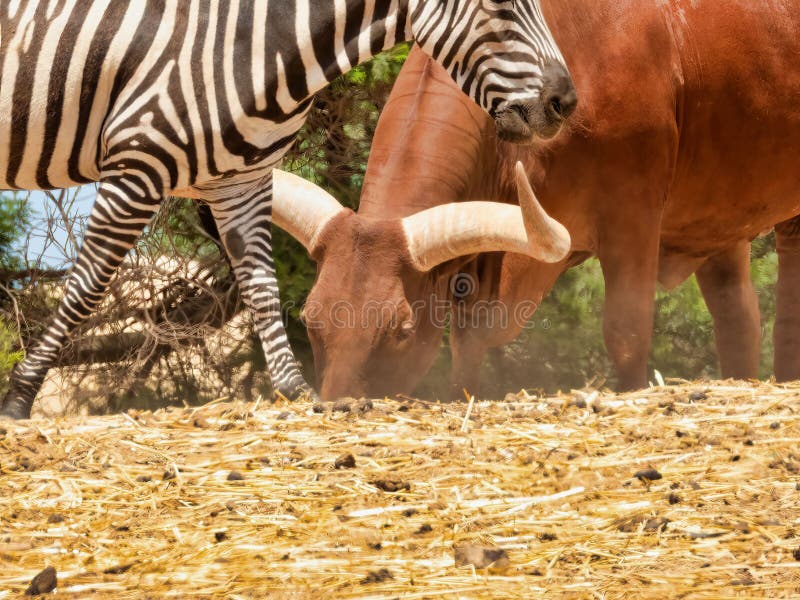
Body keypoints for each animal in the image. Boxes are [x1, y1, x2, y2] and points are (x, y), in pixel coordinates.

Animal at [0, 0, 576, 419]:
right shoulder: (138, 165)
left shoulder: (242, 181)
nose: (566, 102)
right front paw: (18, 400)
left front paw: (294, 392)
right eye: (499, 7)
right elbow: (86, 286)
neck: (262, 47)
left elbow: (261, 286)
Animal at [270, 0, 800, 400]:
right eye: (310, 319)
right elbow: (467, 344)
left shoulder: (632, 218)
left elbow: (626, 335)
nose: (337, 403)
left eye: (400, 330)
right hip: (719, 224)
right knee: (739, 319)